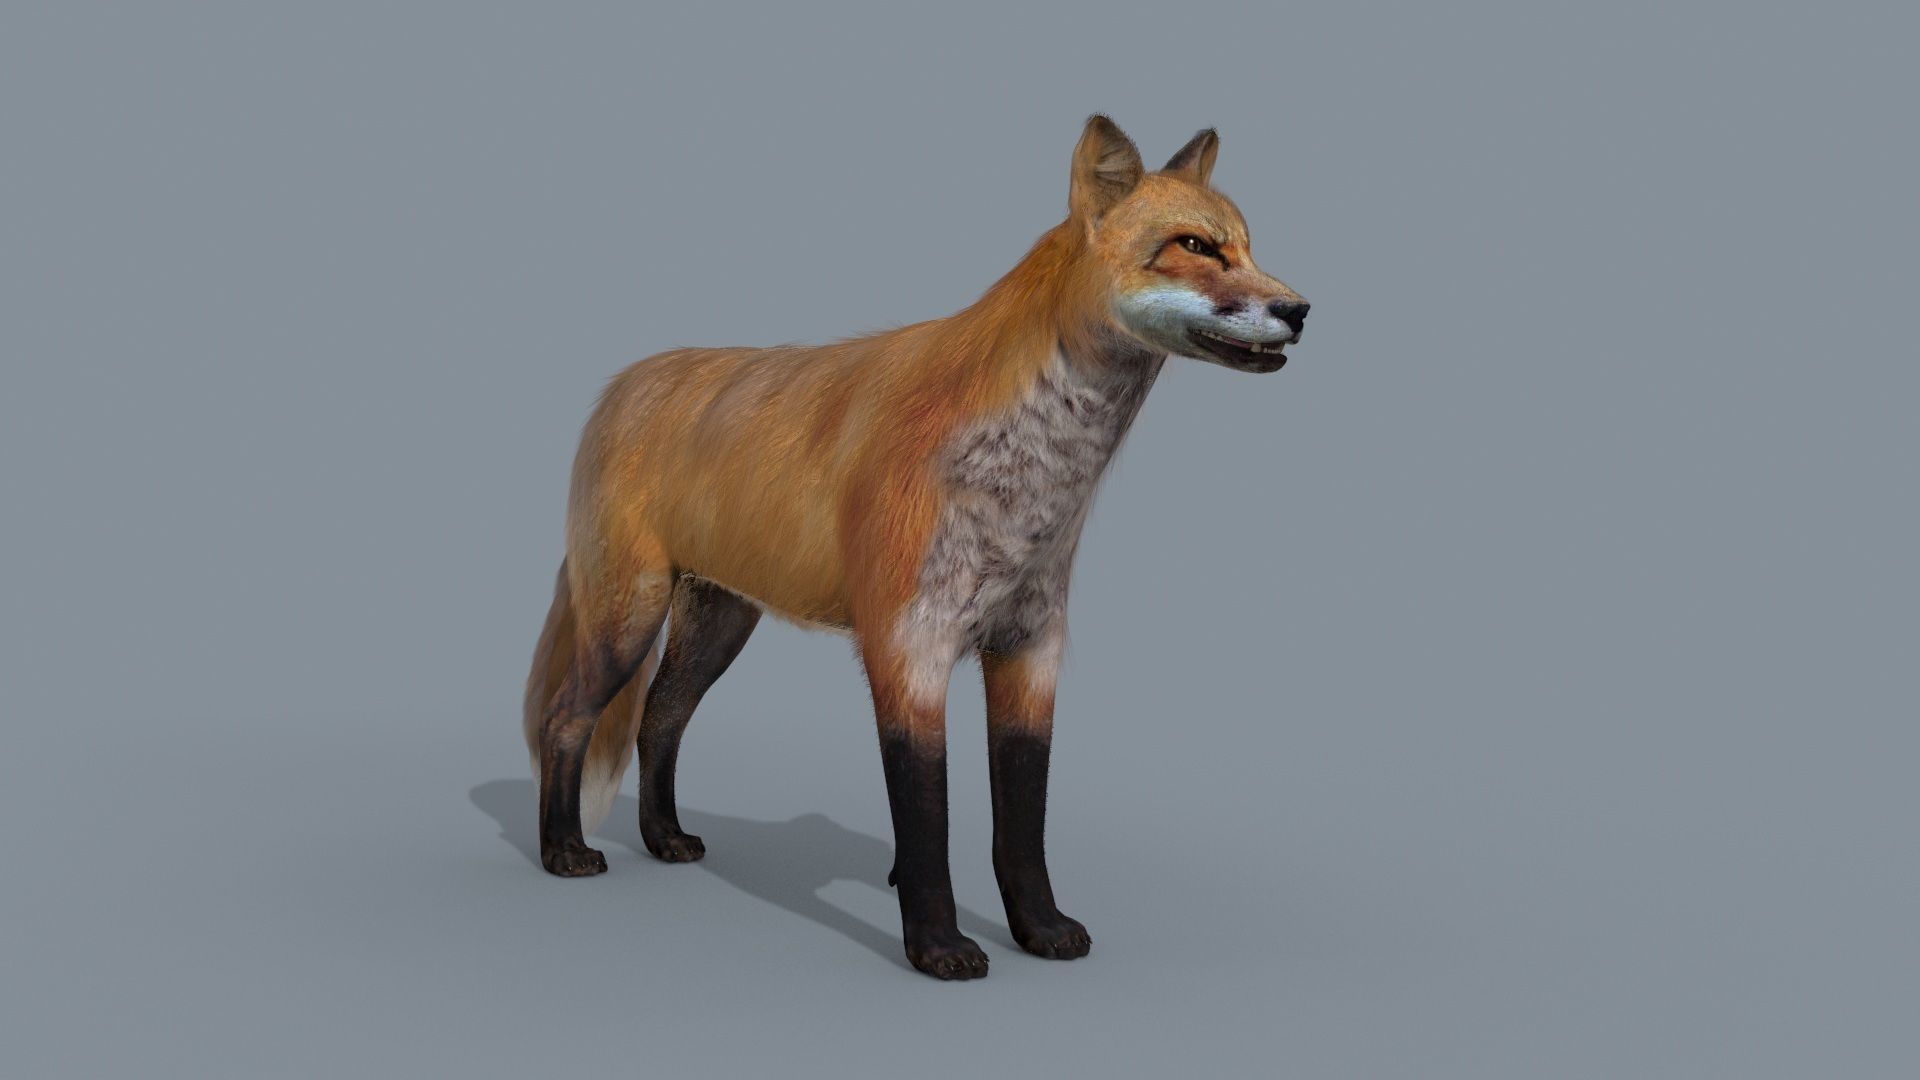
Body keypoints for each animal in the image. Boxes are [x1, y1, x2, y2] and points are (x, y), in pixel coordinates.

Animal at [522, 115, 1310, 980]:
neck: (1034, 492)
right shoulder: (907, 647)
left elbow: (1023, 823)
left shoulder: (1031, 648)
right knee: (567, 719)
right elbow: (926, 820)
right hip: (628, 618)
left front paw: (1040, 928)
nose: (1301, 309)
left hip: (720, 624)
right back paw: (562, 850)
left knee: (660, 722)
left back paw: (664, 838)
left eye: (1247, 246)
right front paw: (938, 946)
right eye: (1196, 247)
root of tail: (622, 383)